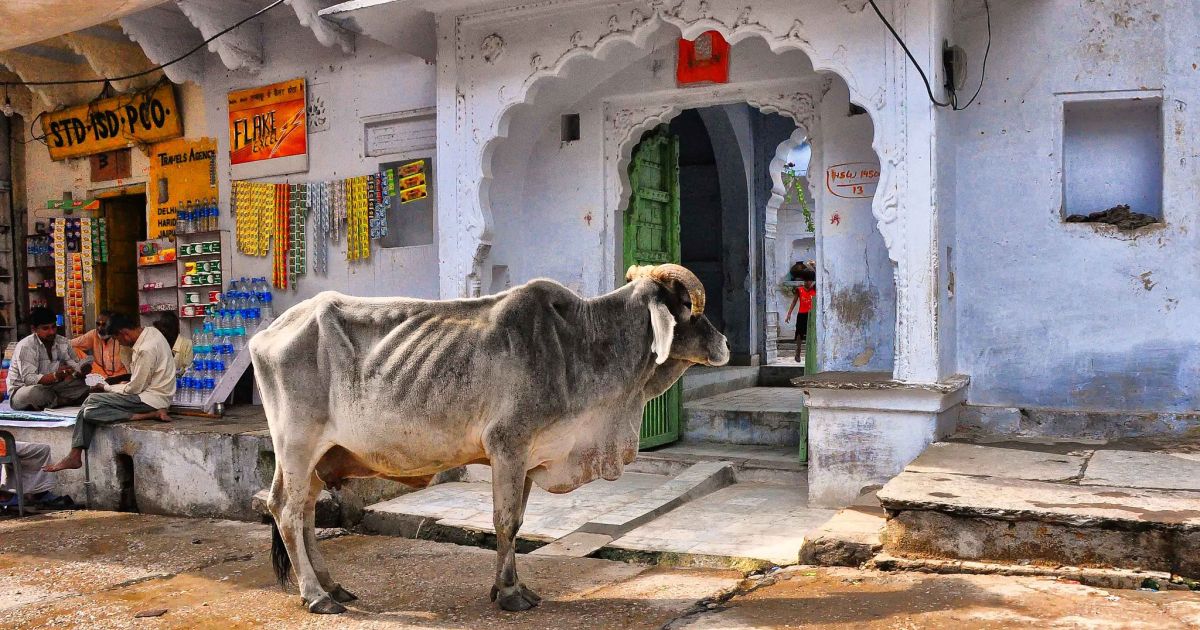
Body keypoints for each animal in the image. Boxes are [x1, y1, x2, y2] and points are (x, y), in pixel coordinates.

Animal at [251, 263, 730, 614]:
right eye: (688, 307)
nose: (725, 343)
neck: (581, 345)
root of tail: (269, 332)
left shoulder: (531, 458)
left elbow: (517, 522)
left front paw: (510, 588)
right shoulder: (508, 446)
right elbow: (504, 521)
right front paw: (510, 593)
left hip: (317, 457)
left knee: (305, 512)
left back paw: (333, 586)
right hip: (297, 447)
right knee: (287, 511)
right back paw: (316, 596)